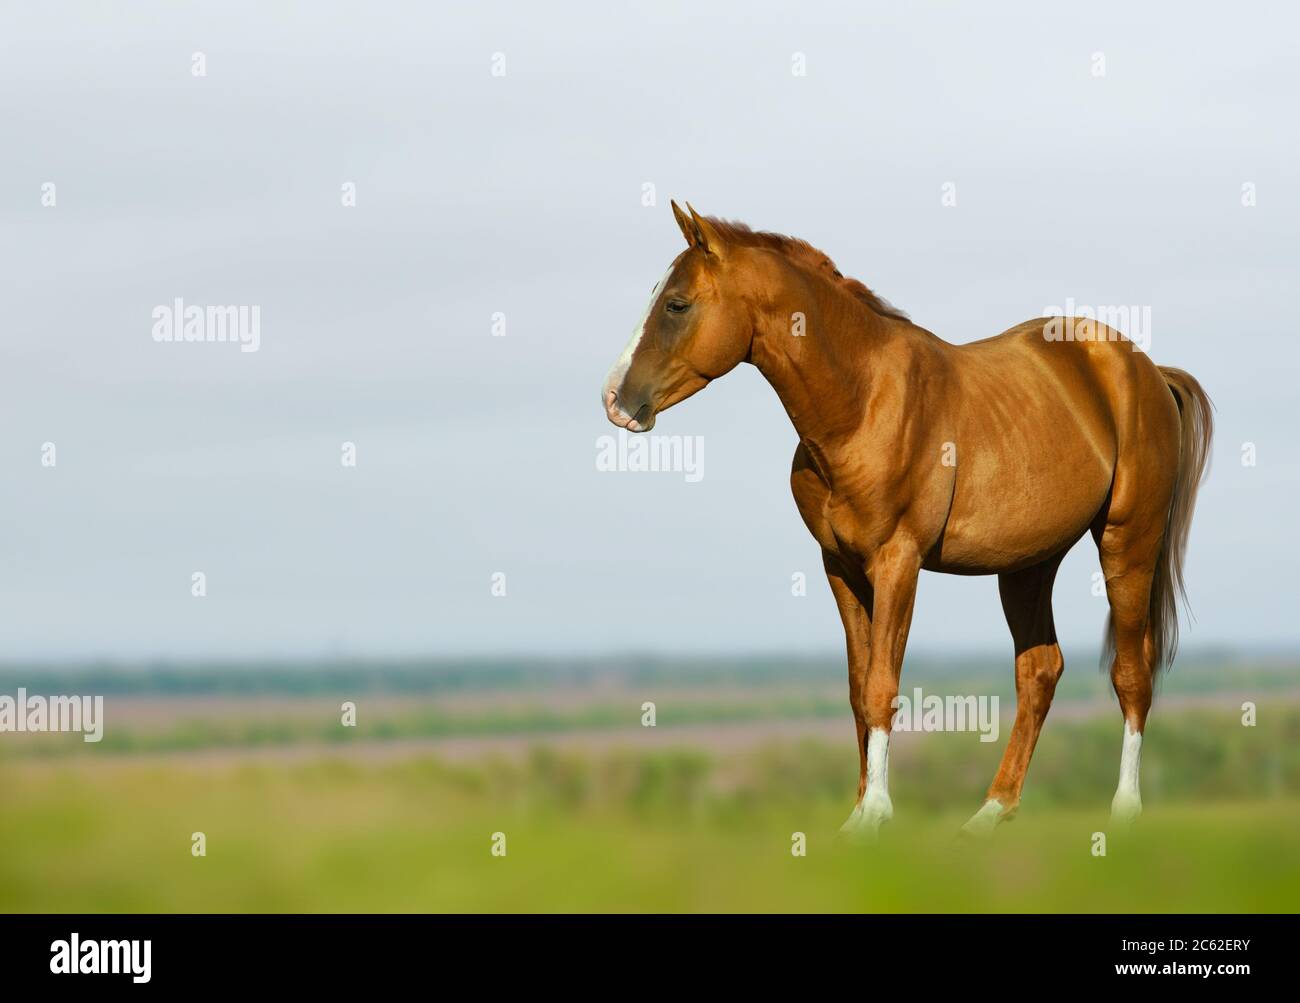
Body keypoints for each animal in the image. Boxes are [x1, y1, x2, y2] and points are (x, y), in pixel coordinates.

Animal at [601, 201, 1213, 837]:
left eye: (676, 304)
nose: (617, 400)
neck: (861, 401)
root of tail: (1145, 369)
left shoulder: (898, 561)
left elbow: (881, 685)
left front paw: (874, 814)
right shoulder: (841, 568)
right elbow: (856, 688)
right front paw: (857, 813)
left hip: (1127, 543)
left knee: (1131, 673)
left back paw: (1124, 810)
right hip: (1028, 564)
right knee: (1039, 671)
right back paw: (992, 811)